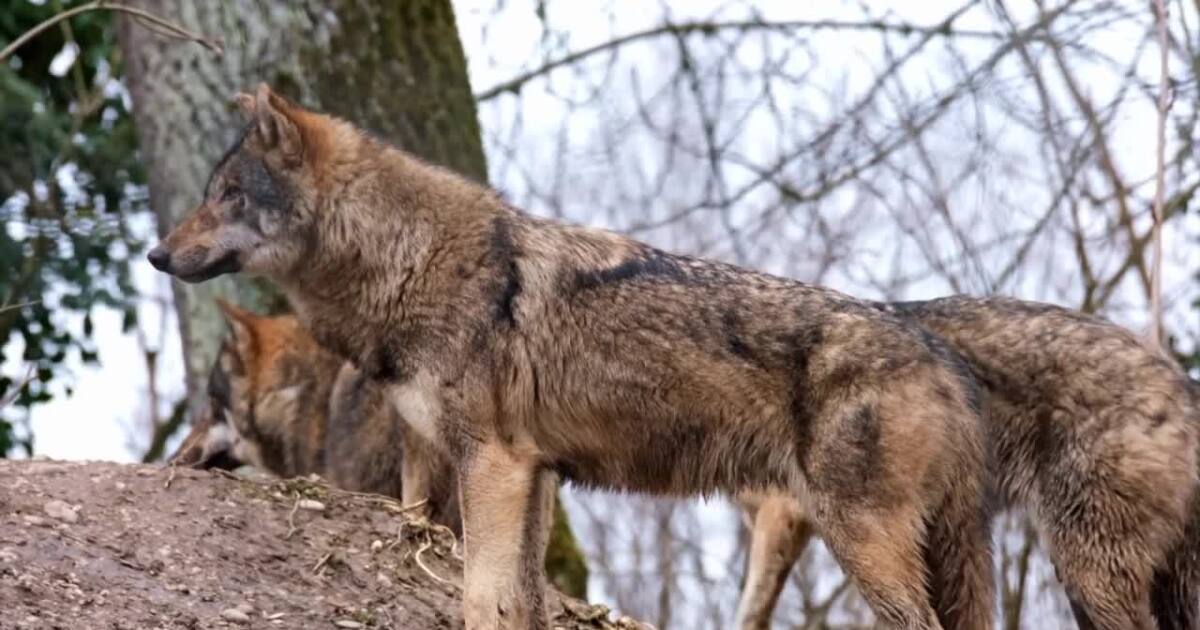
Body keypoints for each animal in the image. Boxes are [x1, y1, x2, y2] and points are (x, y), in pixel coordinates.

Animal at [148, 84, 995, 629]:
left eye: (229, 195)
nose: (155, 254)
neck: (408, 261)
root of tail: (943, 363)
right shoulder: (530, 476)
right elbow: (519, 605)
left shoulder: (491, 467)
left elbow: (477, 600)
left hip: (859, 541)